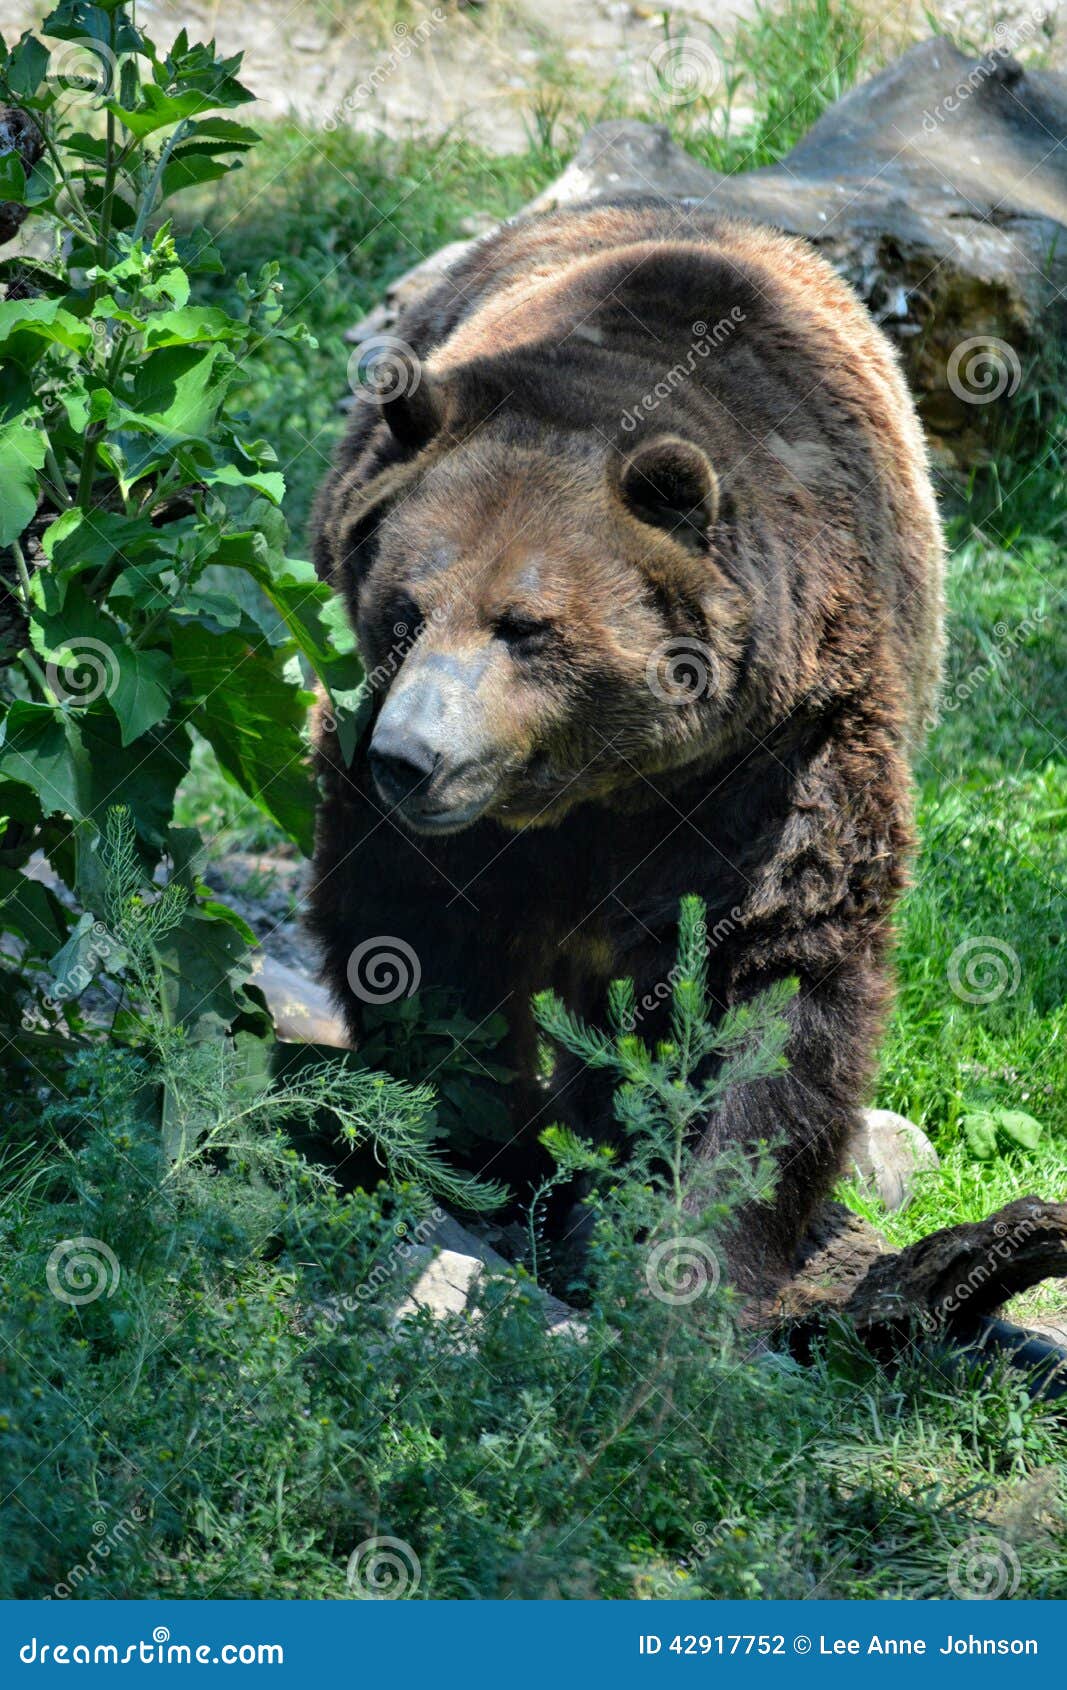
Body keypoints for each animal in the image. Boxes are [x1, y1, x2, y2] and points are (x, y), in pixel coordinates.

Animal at [307, 198, 944, 1295]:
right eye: (403, 609)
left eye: (525, 625)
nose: (409, 759)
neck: (608, 778)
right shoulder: (462, 810)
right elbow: (420, 938)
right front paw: (504, 1166)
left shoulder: (772, 760)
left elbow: (770, 978)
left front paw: (692, 1264)